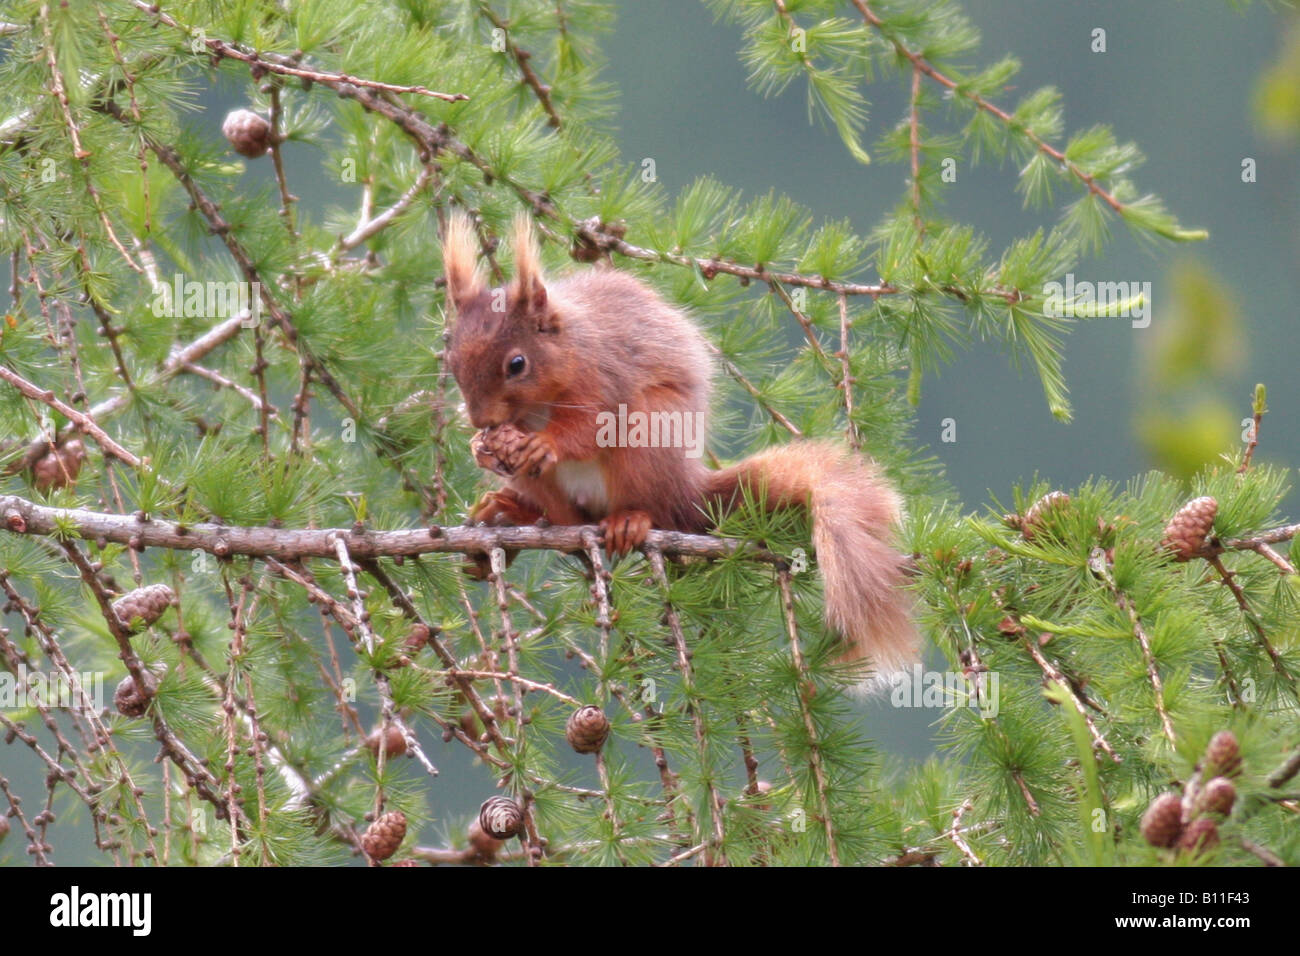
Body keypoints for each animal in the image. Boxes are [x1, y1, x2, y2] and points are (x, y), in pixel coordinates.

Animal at [442, 212, 918, 677]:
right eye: (450, 358)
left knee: (645, 506)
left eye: (517, 364)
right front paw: (481, 447)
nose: (481, 420)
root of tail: (685, 491)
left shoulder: (604, 377)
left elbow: (590, 426)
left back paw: (628, 521)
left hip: (649, 438)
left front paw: (543, 444)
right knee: (565, 519)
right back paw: (512, 511)